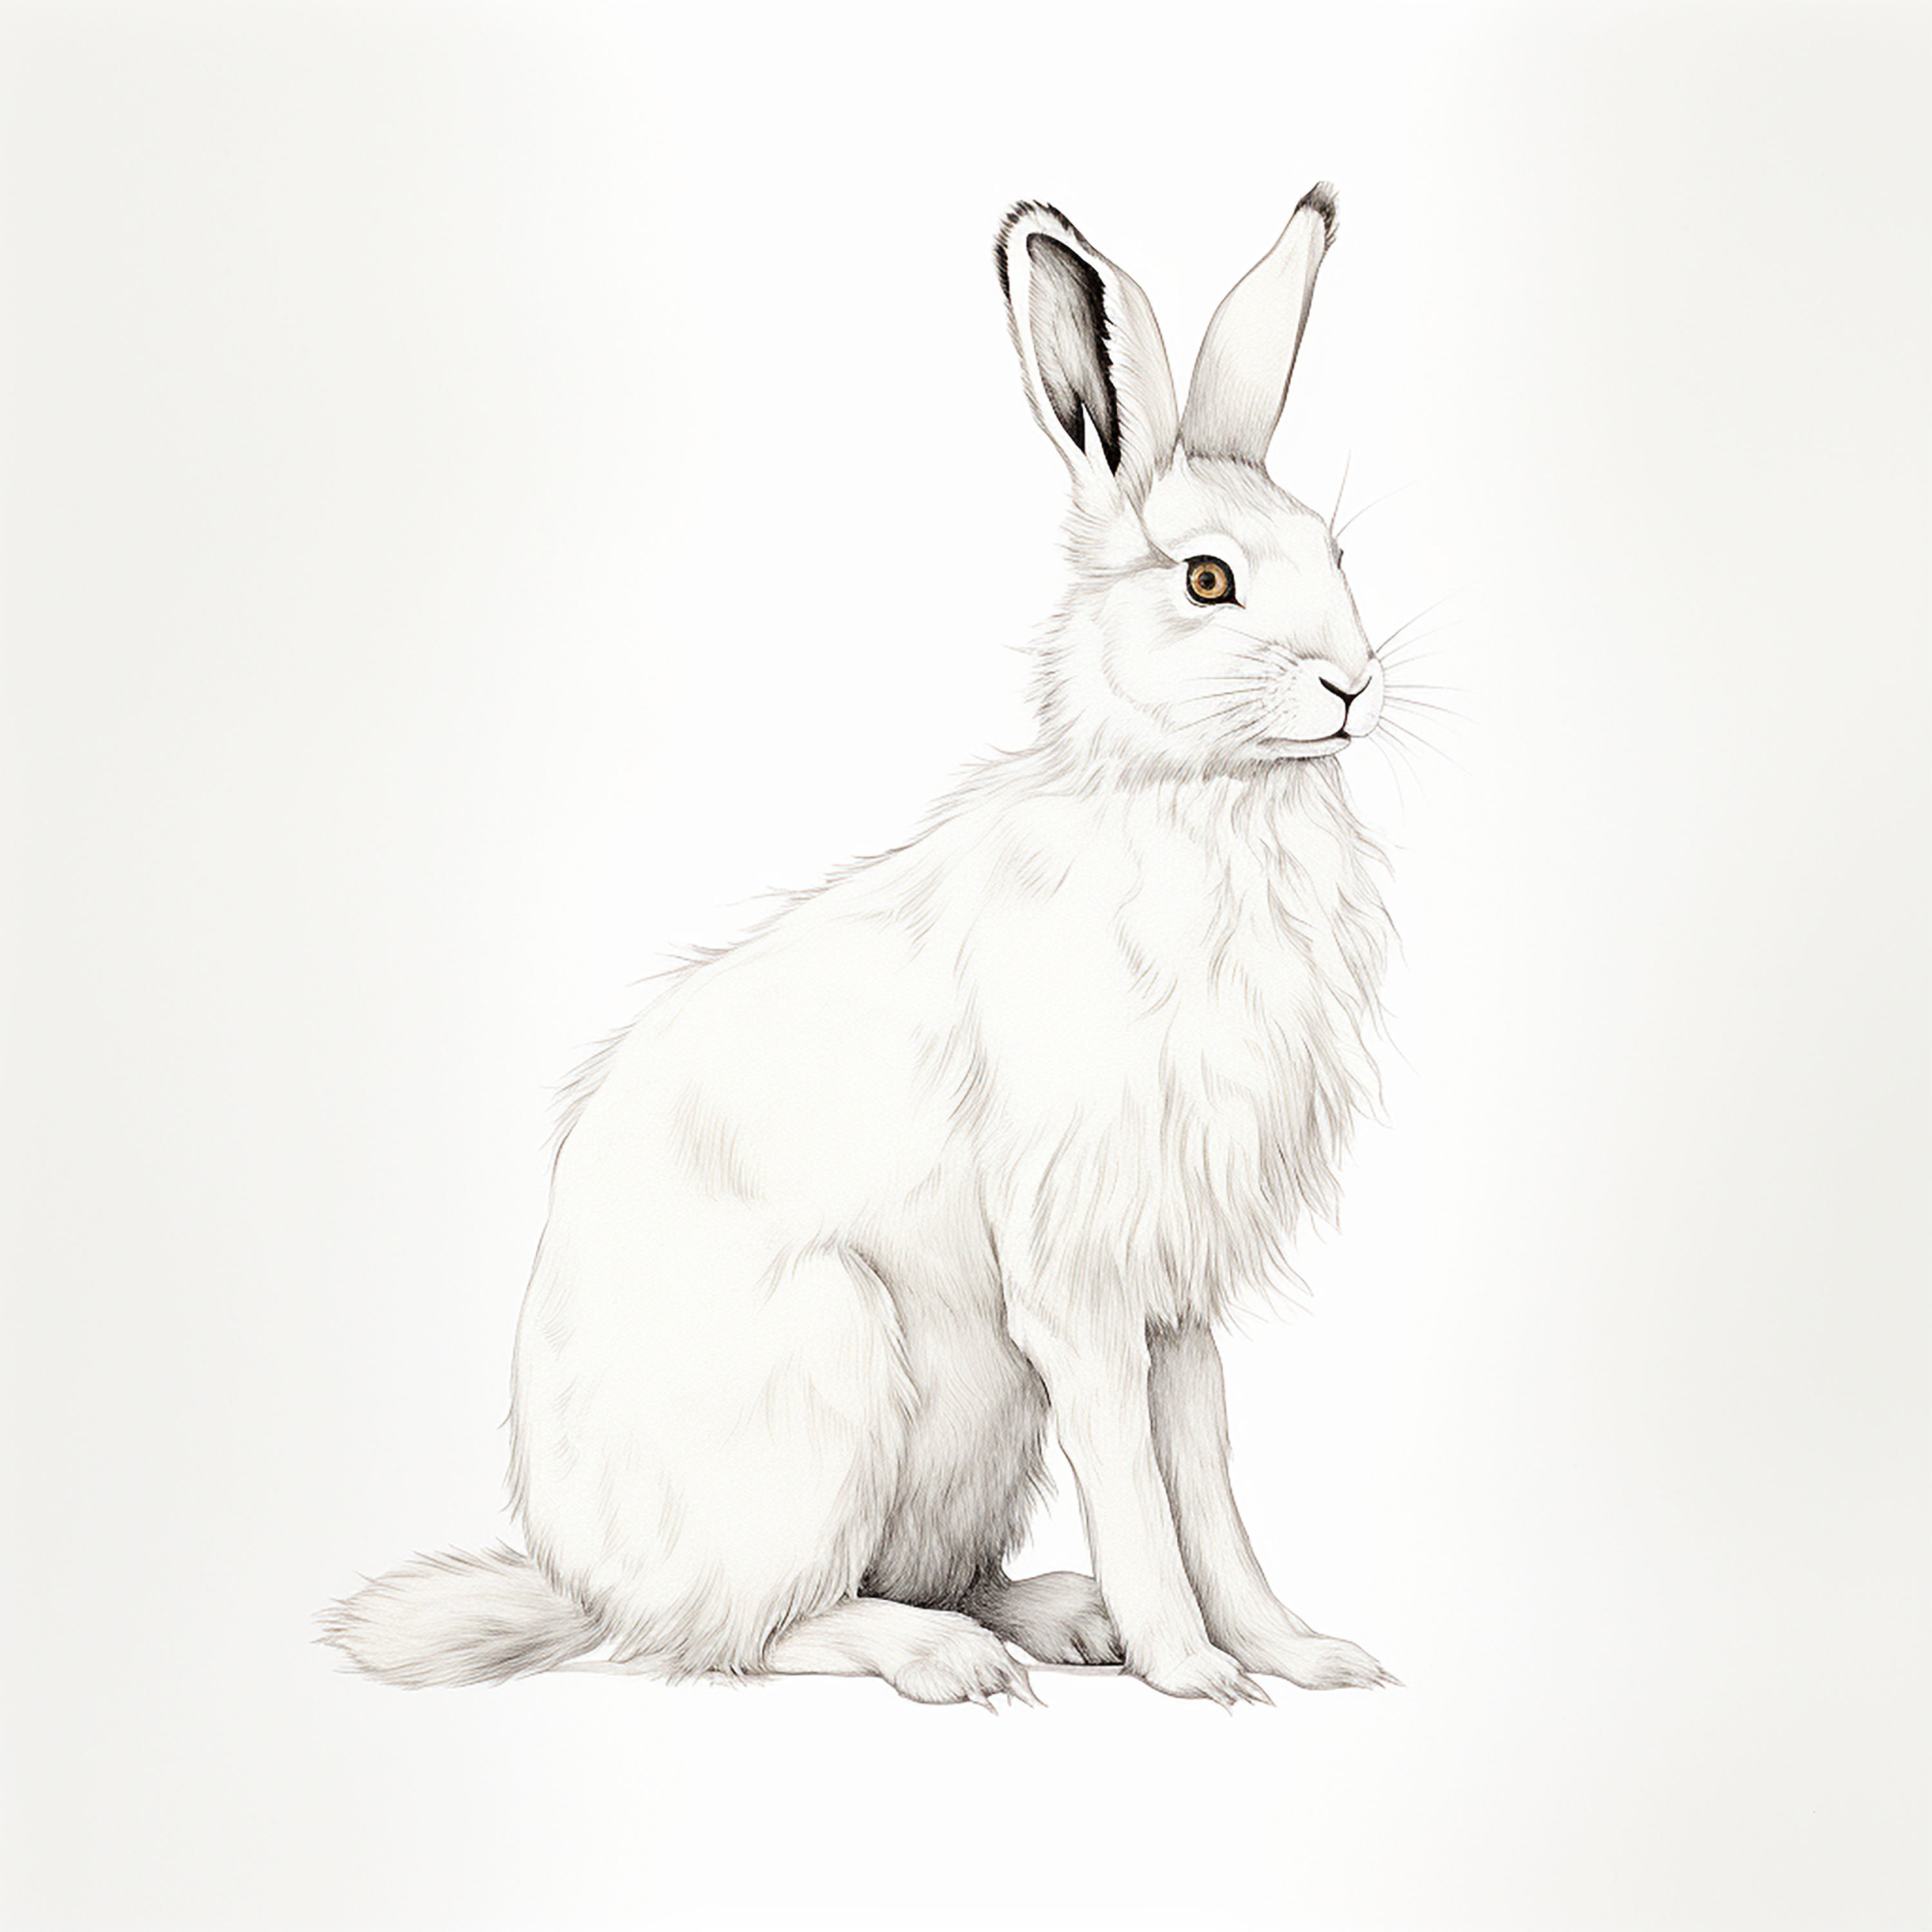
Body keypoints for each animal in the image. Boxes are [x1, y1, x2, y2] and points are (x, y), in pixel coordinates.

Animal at [322, 184, 1399, 1707]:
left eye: (1341, 556)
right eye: (1208, 581)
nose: (1353, 687)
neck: (1196, 802)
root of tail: (582, 1584)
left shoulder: (1176, 1297)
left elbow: (1209, 1483)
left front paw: (1298, 1656)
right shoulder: (1074, 1283)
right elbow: (1139, 1487)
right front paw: (1195, 1675)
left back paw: (1056, 1621)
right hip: (830, 1375)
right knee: (742, 1636)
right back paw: (948, 1661)